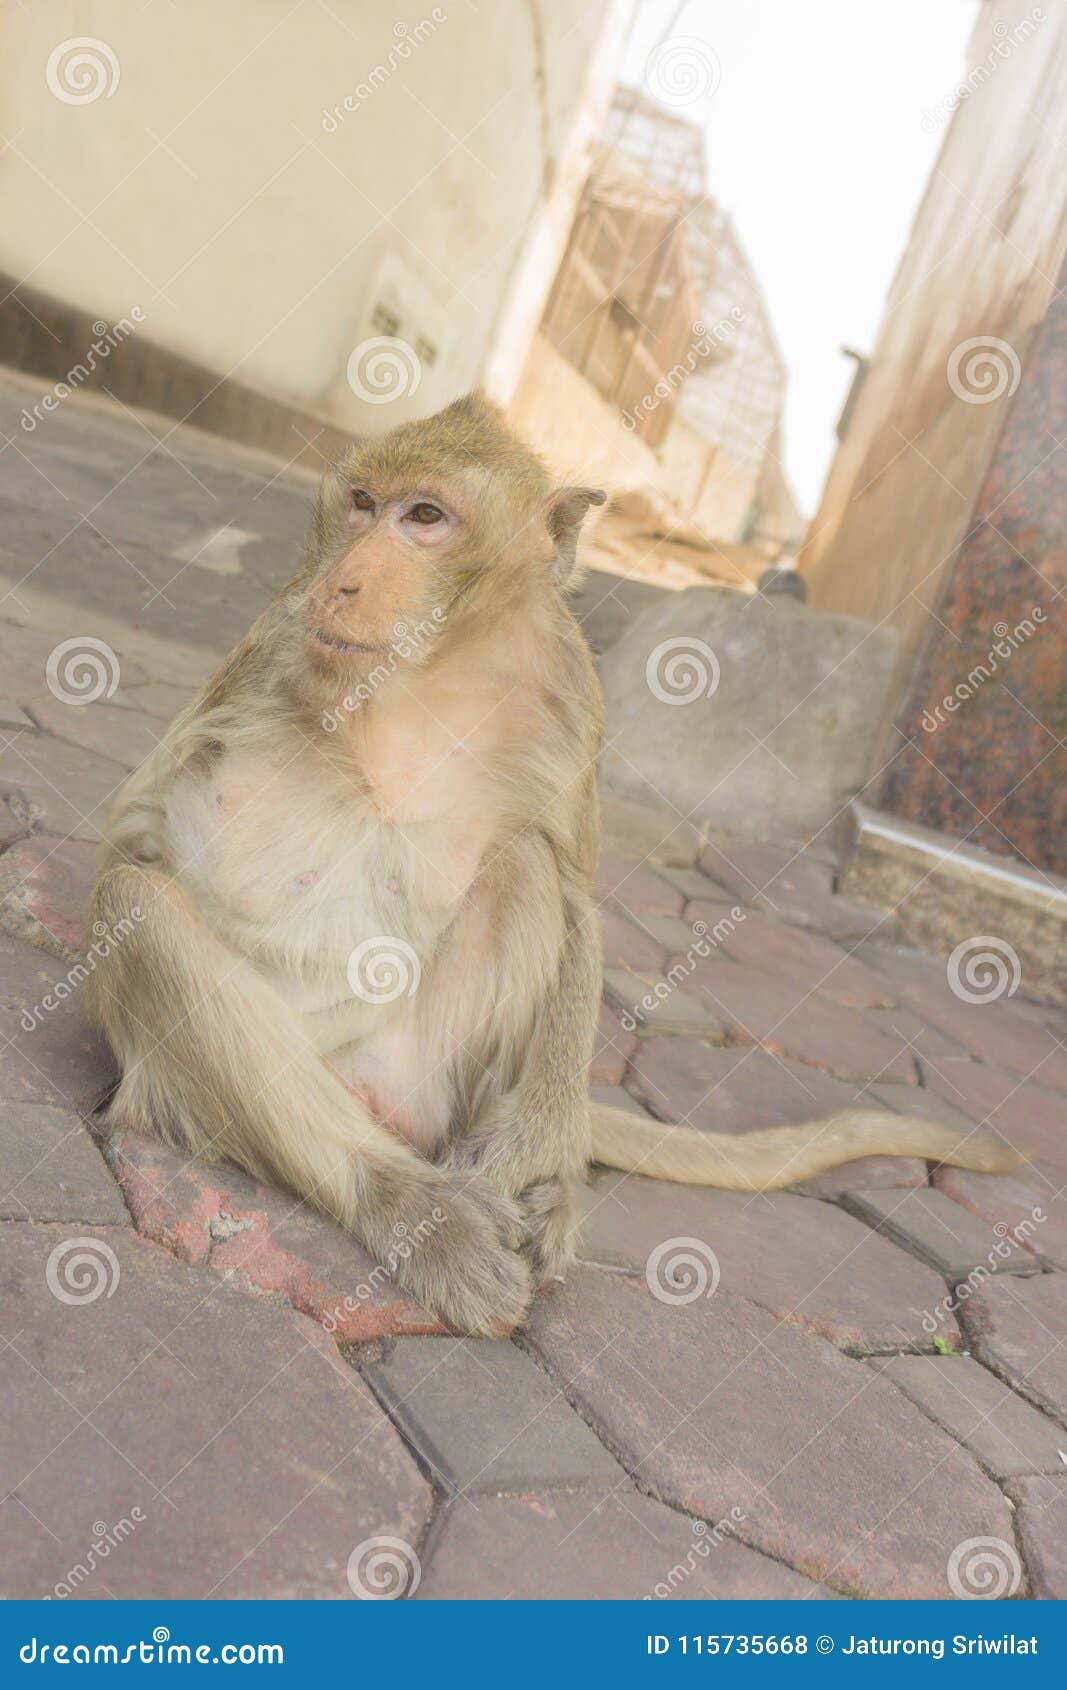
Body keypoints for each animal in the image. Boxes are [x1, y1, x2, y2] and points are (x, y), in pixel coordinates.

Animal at [86, 393, 1016, 1336]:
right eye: (361, 502)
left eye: (425, 517)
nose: (343, 581)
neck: (426, 670)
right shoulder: (274, 639)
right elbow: (131, 843)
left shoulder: (567, 688)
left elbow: (570, 894)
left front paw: (539, 1166)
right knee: (142, 909)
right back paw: (415, 1209)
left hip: (419, 1075)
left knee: (522, 866)